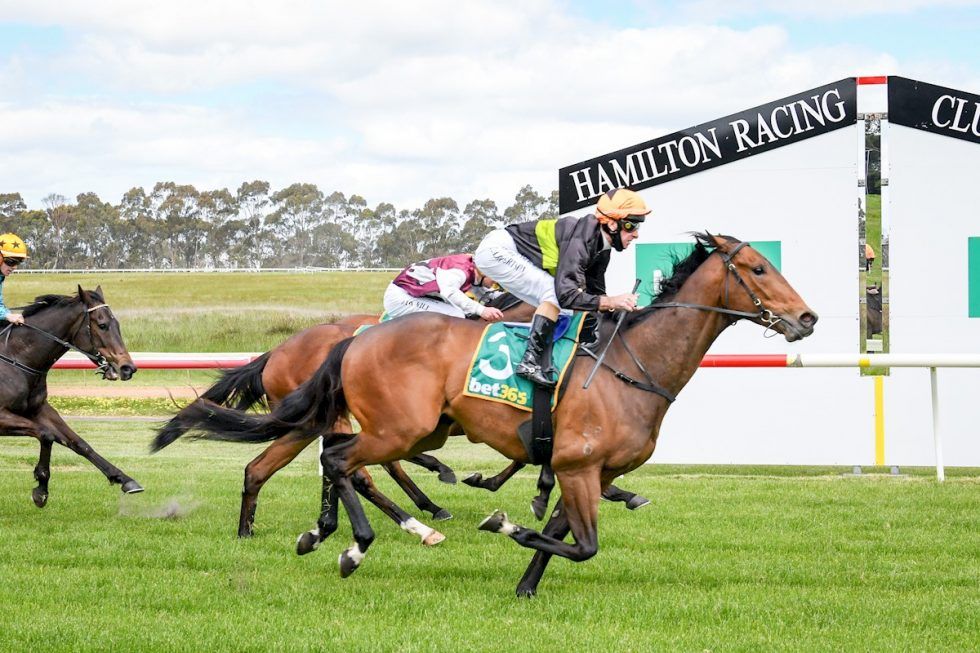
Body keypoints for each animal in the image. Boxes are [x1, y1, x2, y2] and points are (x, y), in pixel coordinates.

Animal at [0, 286, 143, 507]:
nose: (128, 368)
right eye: (102, 325)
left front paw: (124, 479)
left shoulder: (39, 409)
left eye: (117, 324)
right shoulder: (3, 417)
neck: (17, 357)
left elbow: (78, 442)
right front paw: (41, 489)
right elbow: (47, 434)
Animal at [161, 233, 817, 595]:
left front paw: (525, 586)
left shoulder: (585, 469)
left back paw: (323, 531)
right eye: (759, 269)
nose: (806, 318)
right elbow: (581, 544)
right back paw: (362, 541)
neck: (630, 363)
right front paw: (502, 521)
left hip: (403, 428)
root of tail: (349, 341)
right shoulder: (578, 466)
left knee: (305, 465)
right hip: (392, 427)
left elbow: (564, 535)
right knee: (344, 462)